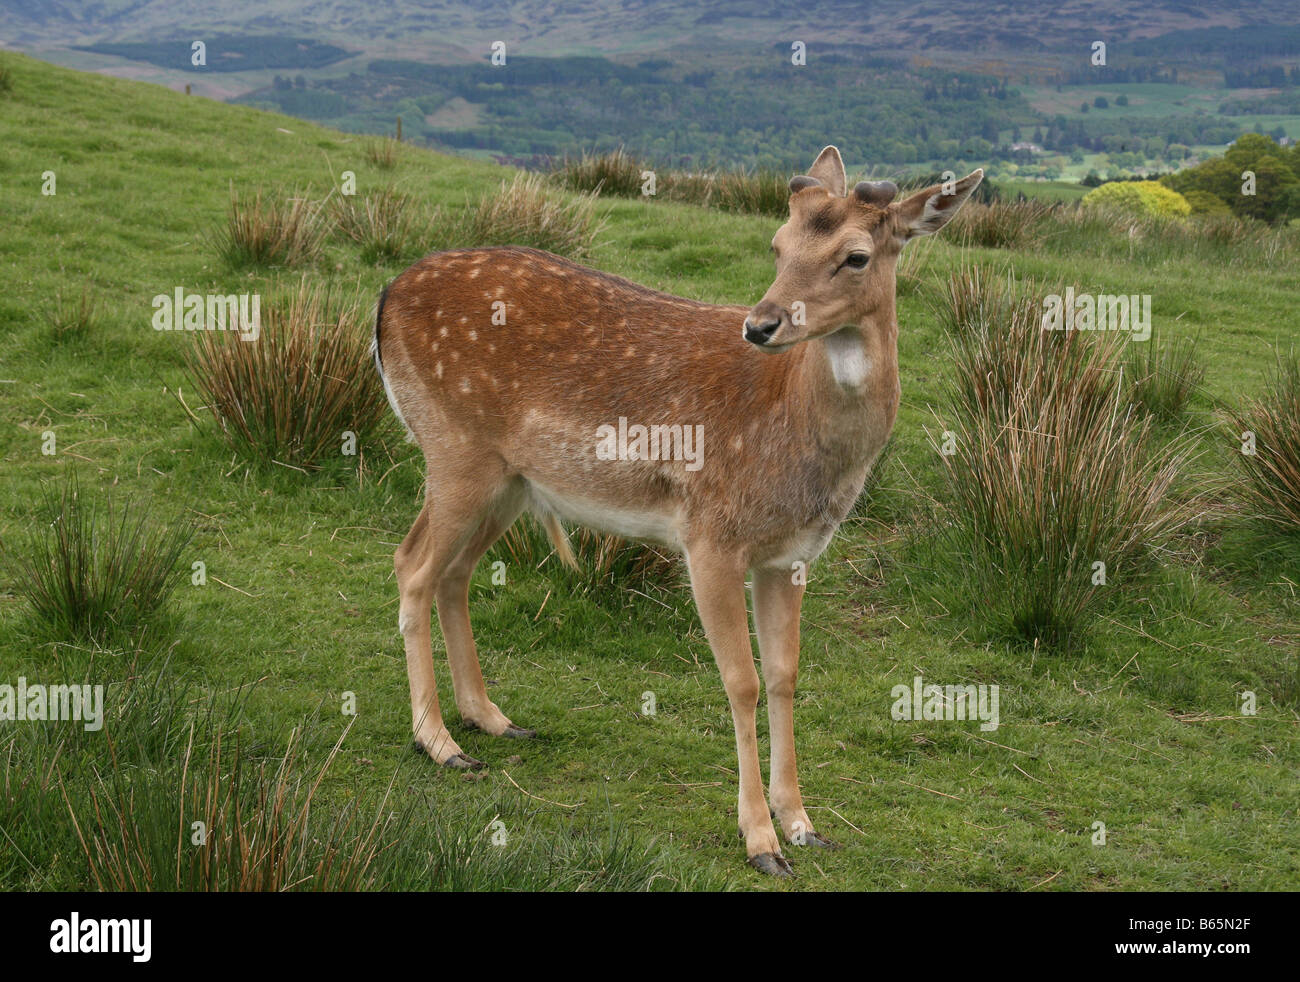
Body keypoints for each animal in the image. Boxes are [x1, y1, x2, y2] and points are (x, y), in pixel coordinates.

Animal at [373, 146, 982, 875]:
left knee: (454, 573)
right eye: (778, 243)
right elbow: (742, 681)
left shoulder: (791, 556)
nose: (762, 324)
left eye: (856, 256)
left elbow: (785, 675)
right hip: (454, 451)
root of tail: (384, 299)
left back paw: (491, 717)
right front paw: (760, 841)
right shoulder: (711, 535)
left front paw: (803, 824)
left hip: (511, 481)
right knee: (410, 565)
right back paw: (439, 742)